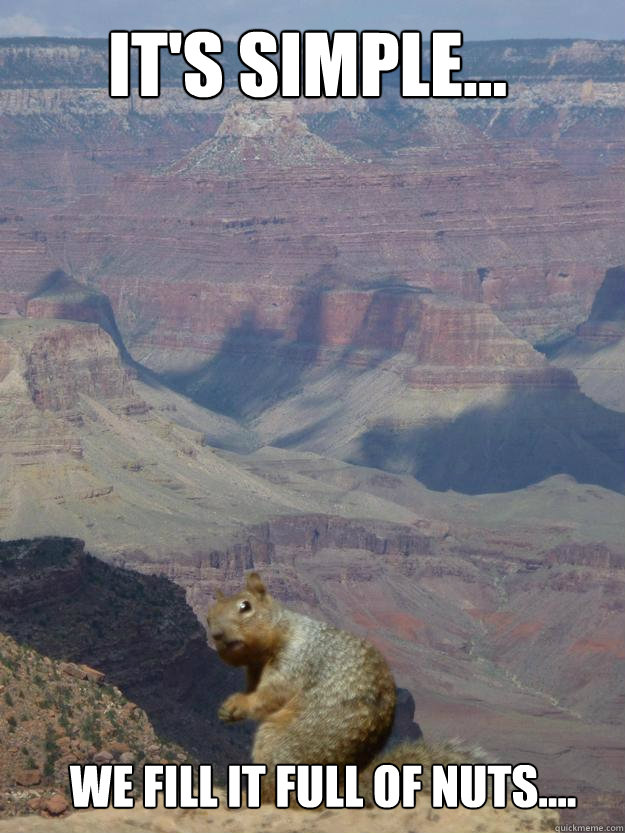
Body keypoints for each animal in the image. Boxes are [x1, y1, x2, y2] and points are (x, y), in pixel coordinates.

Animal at [206, 571, 397, 786]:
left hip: (287, 740)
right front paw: (228, 711)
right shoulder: (255, 671)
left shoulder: (296, 659)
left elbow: (271, 693)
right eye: (208, 617)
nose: (217, 634)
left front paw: (237, 704)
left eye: (245, 606)